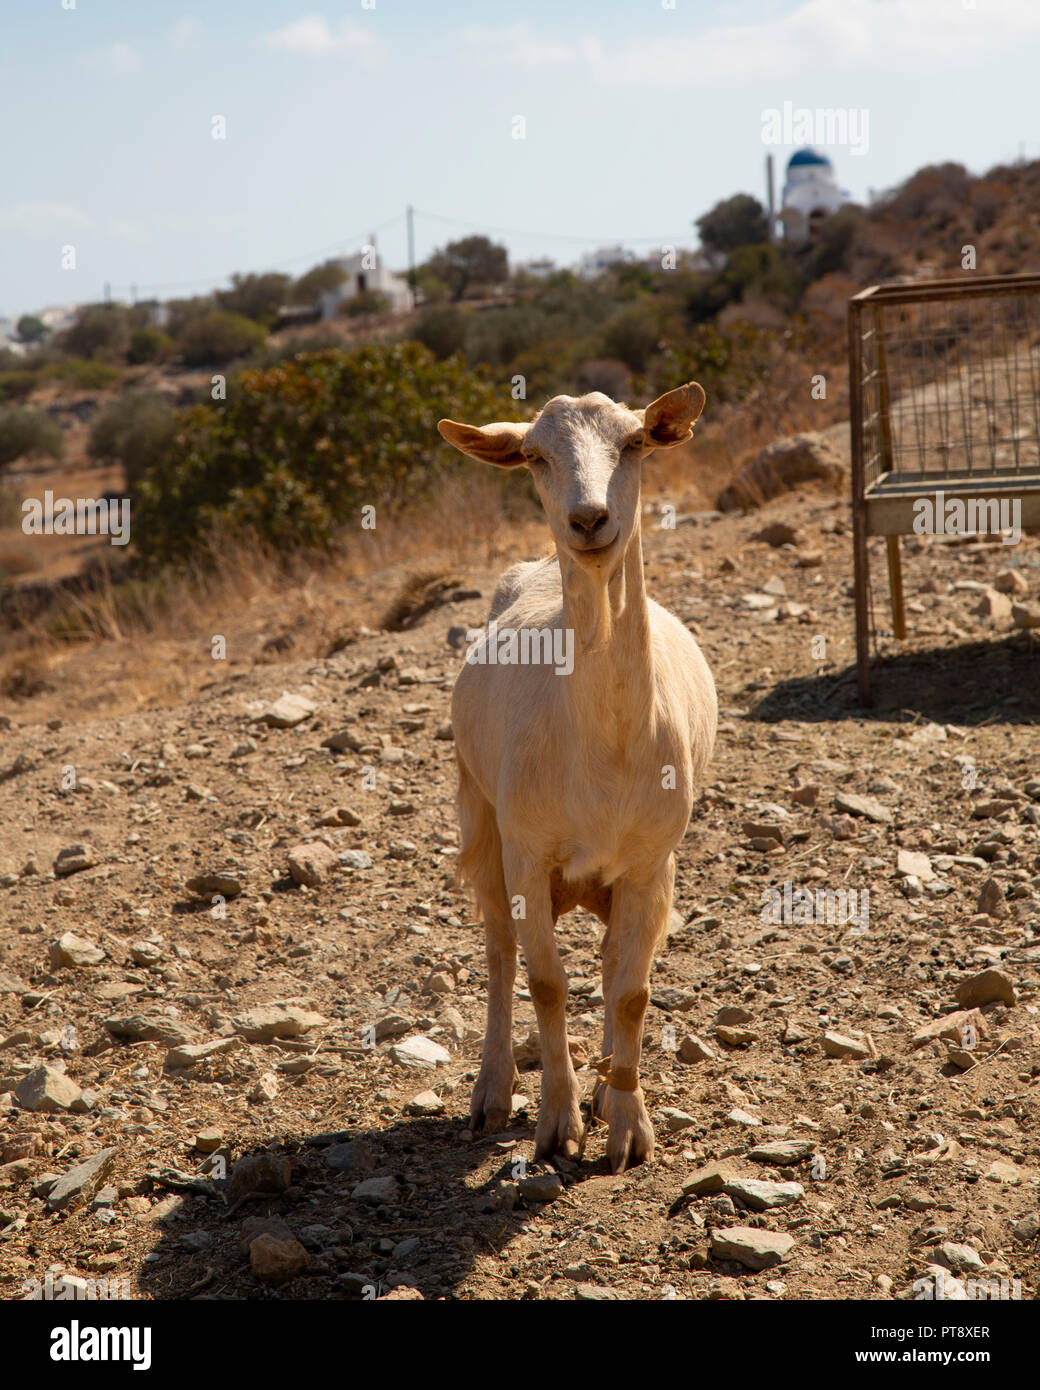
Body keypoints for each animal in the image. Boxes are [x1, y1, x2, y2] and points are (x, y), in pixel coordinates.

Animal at [438, 383, 717, 1172]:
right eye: (534, 454)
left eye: (635, 442)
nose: (588, 519)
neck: (604, 747)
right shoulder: (529, 852)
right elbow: (545, 981)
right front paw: (559, 1124)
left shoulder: (654, 861)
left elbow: (630, 991)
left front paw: (624, 1127)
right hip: (480, 817)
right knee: (499, 950)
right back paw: (493, 1090)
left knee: (608, 958)